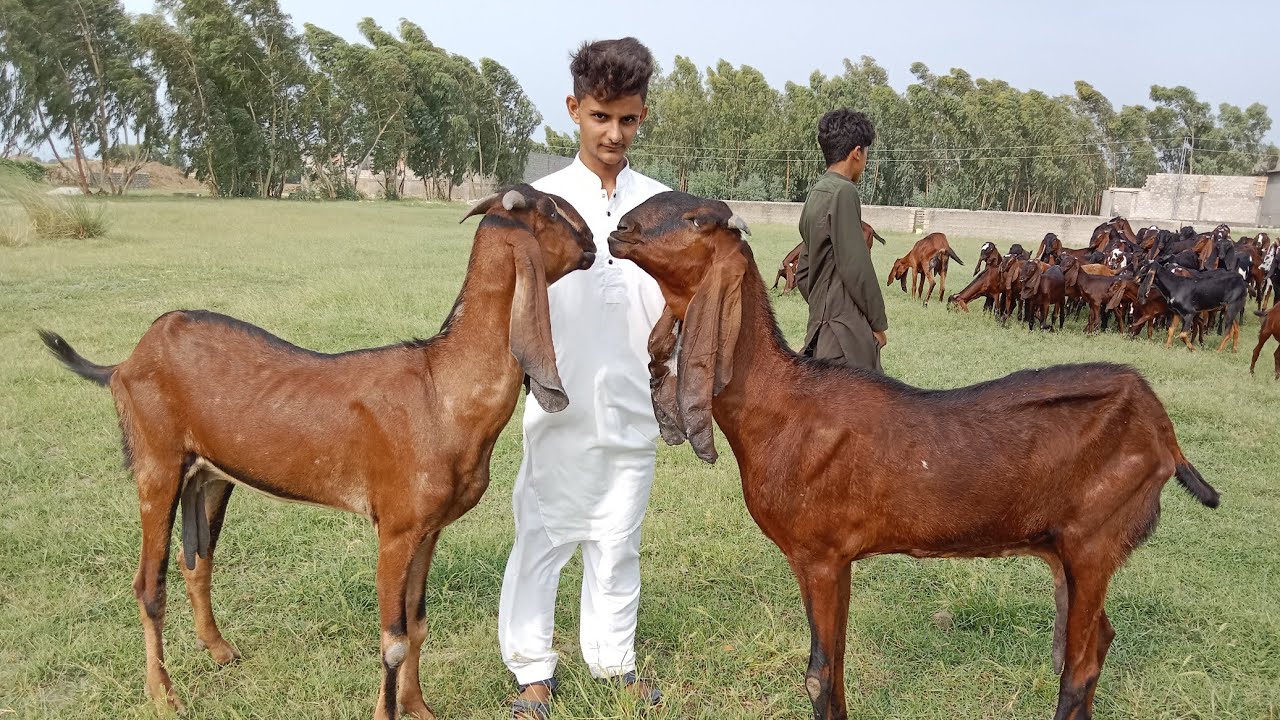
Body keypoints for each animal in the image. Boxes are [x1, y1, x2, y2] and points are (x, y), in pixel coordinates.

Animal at [36, 186, 595, 719]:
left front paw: (419, 706)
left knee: (195, 560)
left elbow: (417, 624)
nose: (593, 243)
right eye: (551, 210)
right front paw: (387, 712)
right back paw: (162, 695)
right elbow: (393, 640)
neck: (442, 386)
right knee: (148, 585)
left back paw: (219, 650)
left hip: (209, 475)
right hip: (157, 464)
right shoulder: (395, 528)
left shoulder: (429, 528)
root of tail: (126, 361)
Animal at [608, 191, 1220, 720]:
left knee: (1080, 665)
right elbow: (834, 668)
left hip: (1094, 542)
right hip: (1068, 552)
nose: (621, 228)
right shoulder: (836, 560)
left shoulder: (820, 555)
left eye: (696, 220)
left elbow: (819, 676)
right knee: (1099, 643)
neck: (781, 405)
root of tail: (1162, 428)